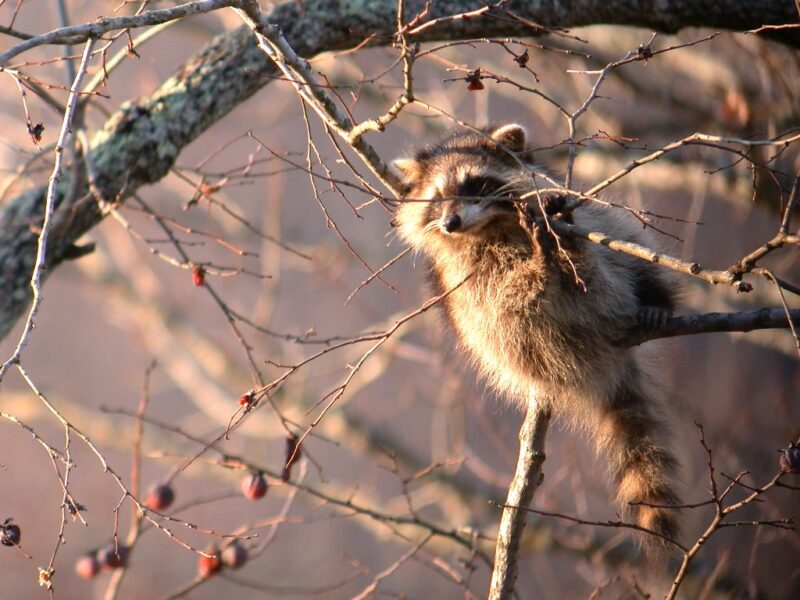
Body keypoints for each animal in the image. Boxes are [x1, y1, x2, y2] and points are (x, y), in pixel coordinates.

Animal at [393, 124, 681, 547]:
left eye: (474, 183)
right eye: (437, 198)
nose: (450, 223)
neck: (489, 226)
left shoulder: (565, 205)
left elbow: (615, 229)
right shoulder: (458, 273)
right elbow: (496, 298)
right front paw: (531, 273)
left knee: (616, 251)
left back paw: (589, 266)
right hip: (513, 345)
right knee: (511, 317)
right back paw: (551, 269)